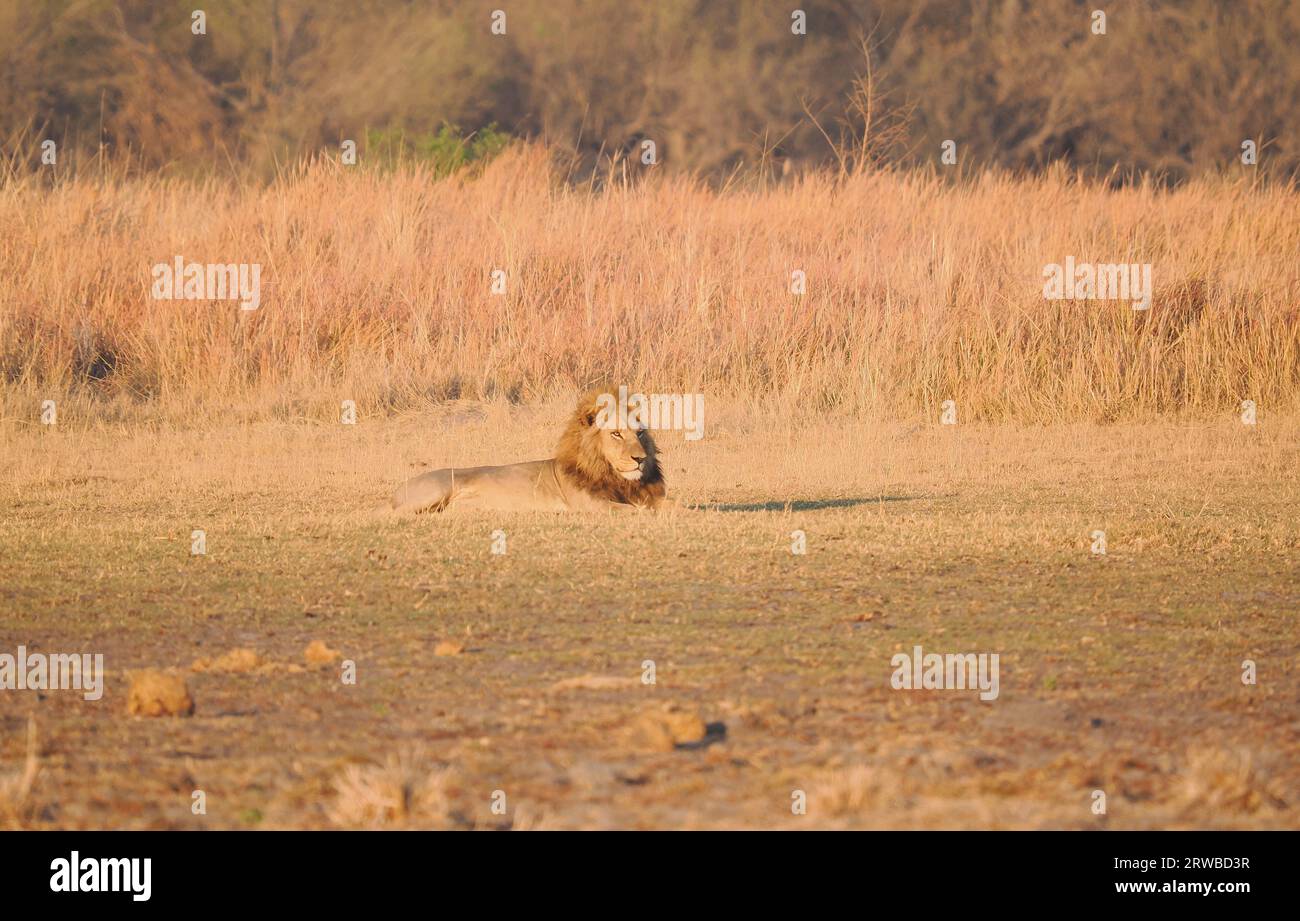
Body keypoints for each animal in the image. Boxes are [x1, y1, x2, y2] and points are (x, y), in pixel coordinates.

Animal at [389, 391, 675, 514]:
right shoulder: (591, 505)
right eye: (616, 434)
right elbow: (638, 512)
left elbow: (672, 504)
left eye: (639, 434)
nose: (640, 459)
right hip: (436, 489)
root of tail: (400, 487)